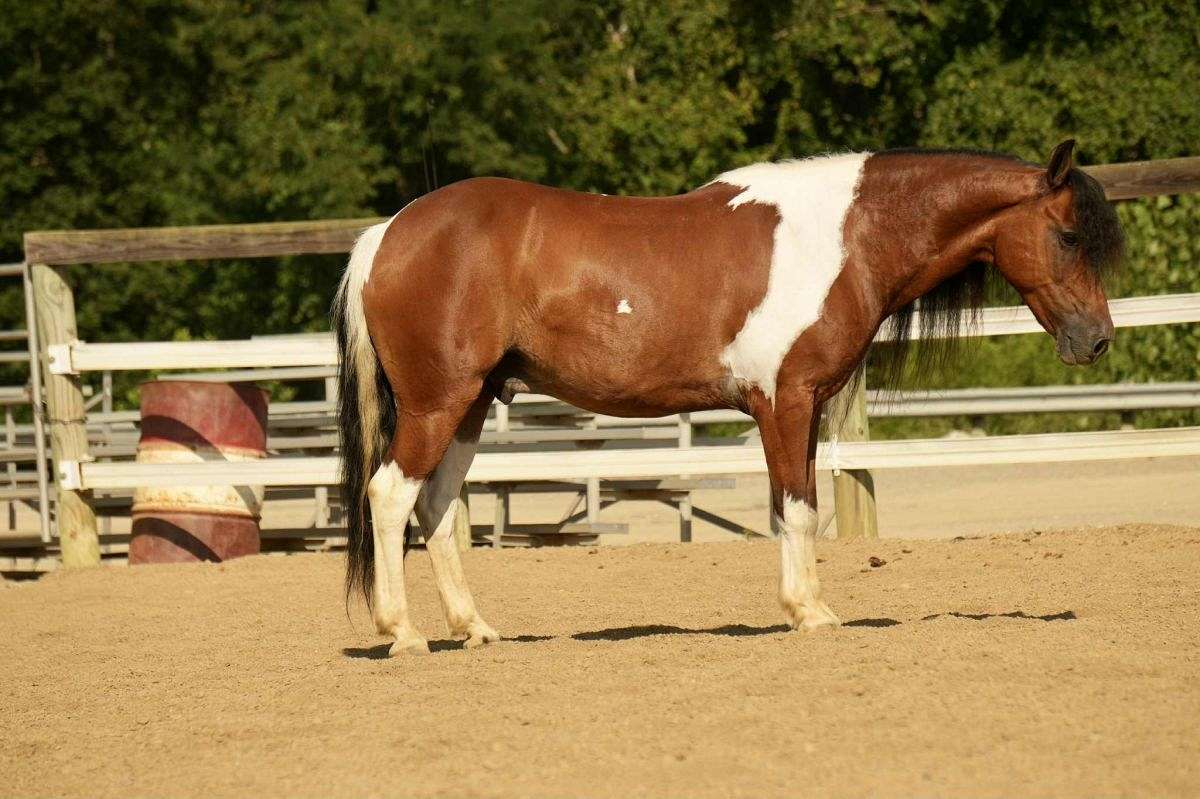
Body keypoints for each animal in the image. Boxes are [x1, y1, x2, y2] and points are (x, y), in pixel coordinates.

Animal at [332, 139, 1124, 655]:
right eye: (1066, 234)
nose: (1096, 340)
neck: (841, 240)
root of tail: (387, 234)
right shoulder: (786, 400)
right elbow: (796, 508)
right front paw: (811, 613)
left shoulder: (804, 405)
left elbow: (796, 504)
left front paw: (806, 606)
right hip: (438, 404)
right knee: (390, 496)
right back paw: (403, 635)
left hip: (467, 407)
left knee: (435, 508)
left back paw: (474, 630)